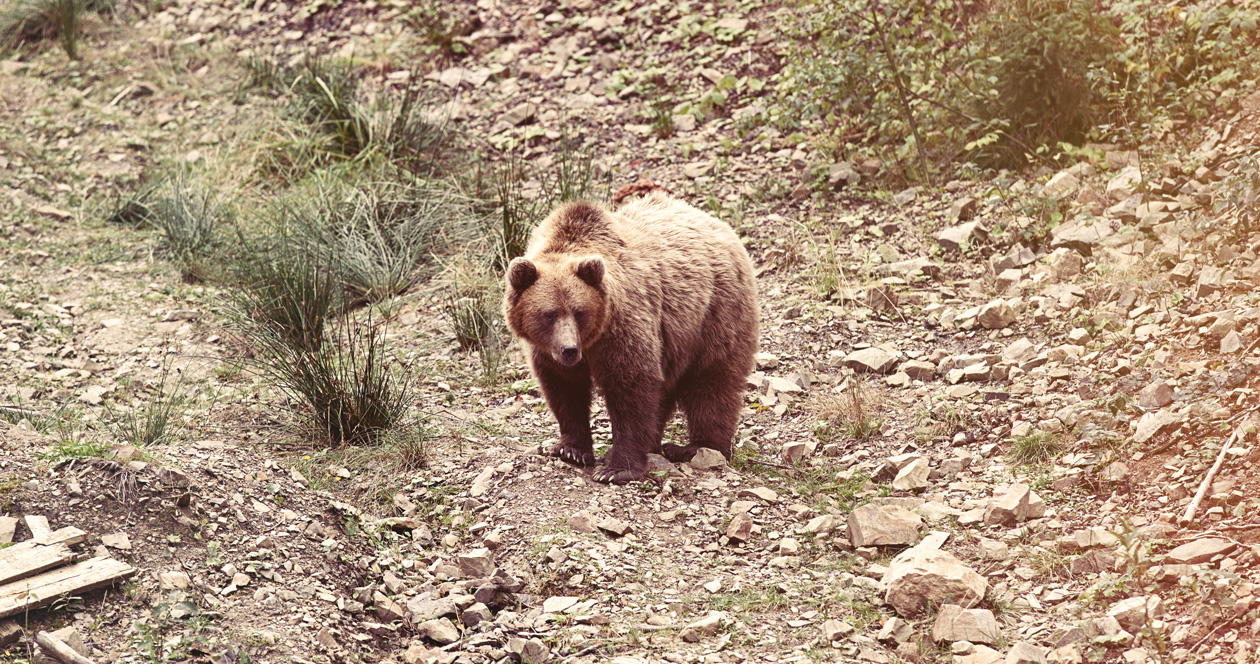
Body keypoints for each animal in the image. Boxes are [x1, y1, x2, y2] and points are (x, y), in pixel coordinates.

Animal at [503, 192, 759, 484]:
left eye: (580, 312)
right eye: (549, 314)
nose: (569, 350)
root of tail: (721, 226)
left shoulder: (622, 324)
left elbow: (631, 385)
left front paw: (616, 469)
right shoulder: (548, 350)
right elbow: (564, 388)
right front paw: (572, 450)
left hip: (714, 314)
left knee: (712, 383)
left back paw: (696, 447)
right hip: (675, 341)